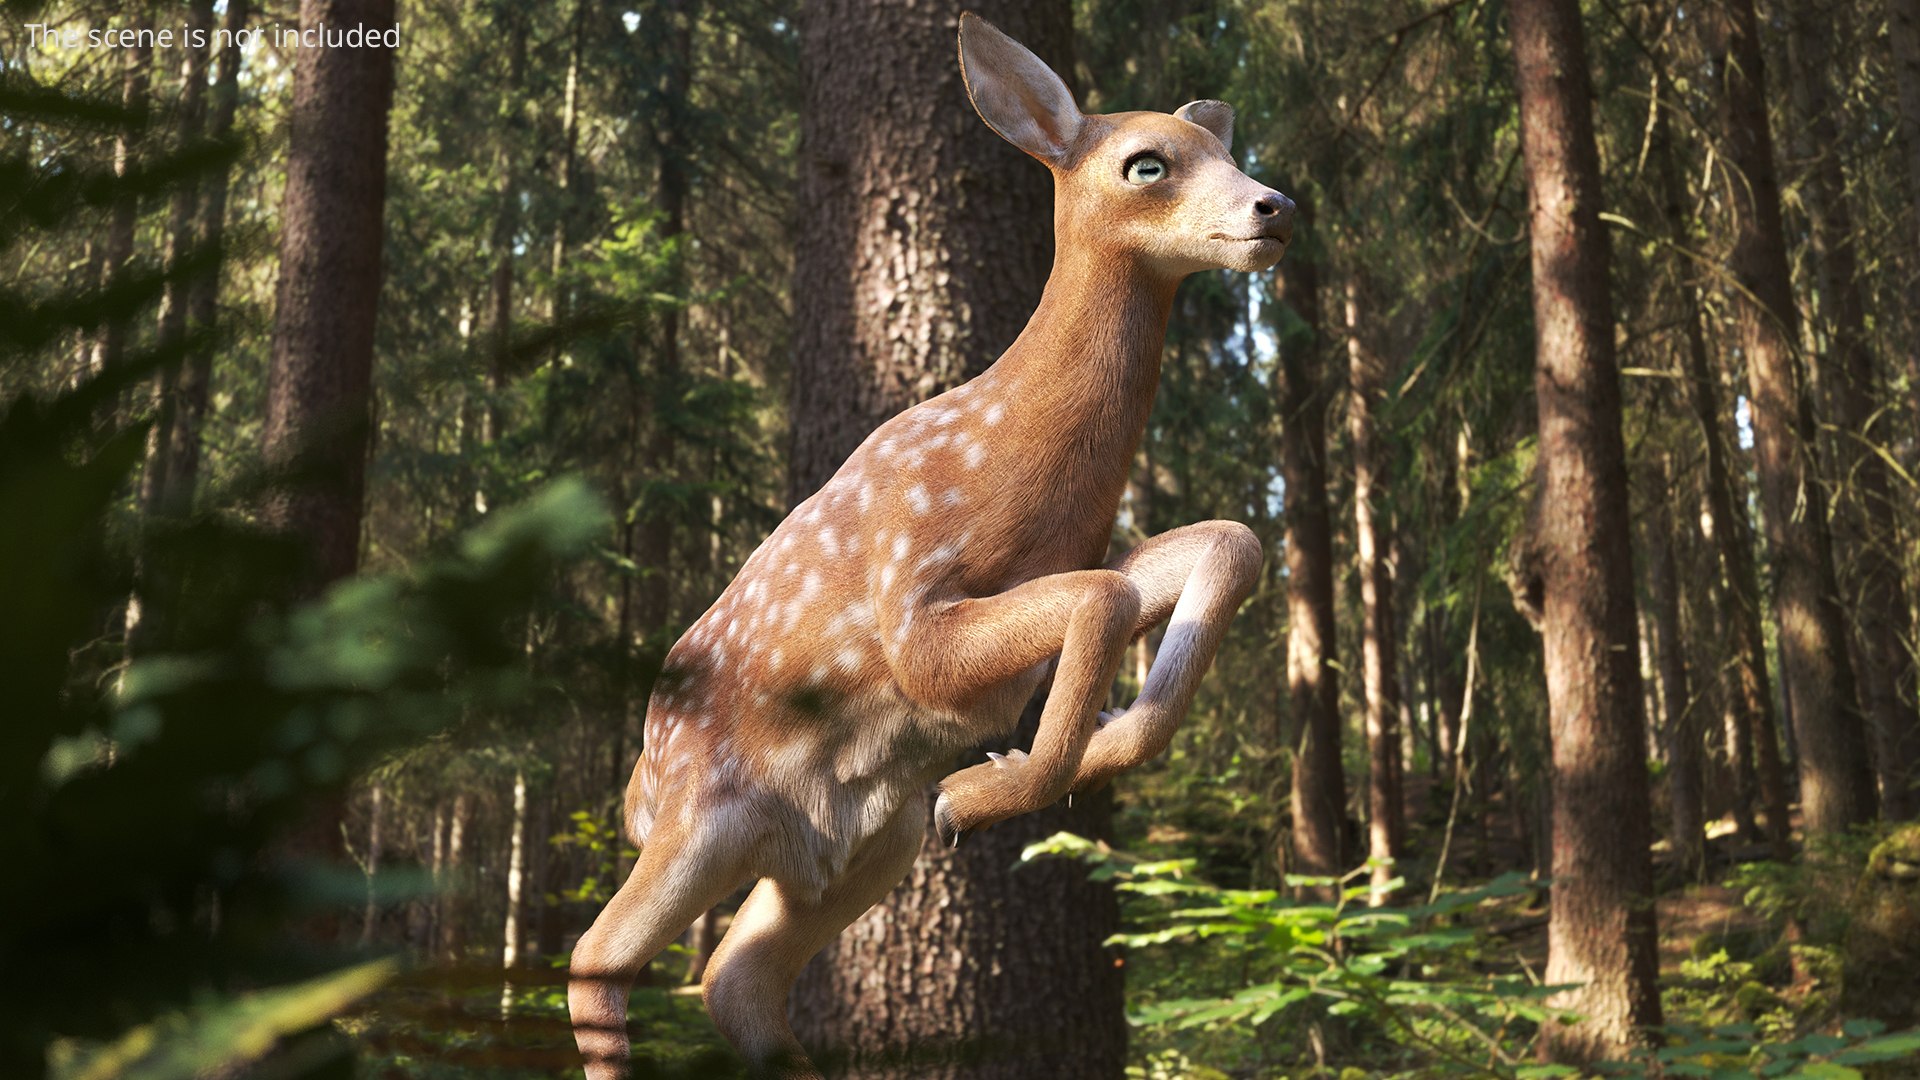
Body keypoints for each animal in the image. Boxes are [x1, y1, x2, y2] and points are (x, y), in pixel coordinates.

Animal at [569, 13, 1294, 1079]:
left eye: (1230, 152)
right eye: (1147, 163)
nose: (1275, 205)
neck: (1000, 450)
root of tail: (635, 791)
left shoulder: (1076, 546)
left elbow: (1227, 544)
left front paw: (1077, 747)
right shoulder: (912, 604)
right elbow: (1105, 598)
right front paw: (993, 784)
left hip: (859, 849)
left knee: (735, 981)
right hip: (701, 817)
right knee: (599, 960)